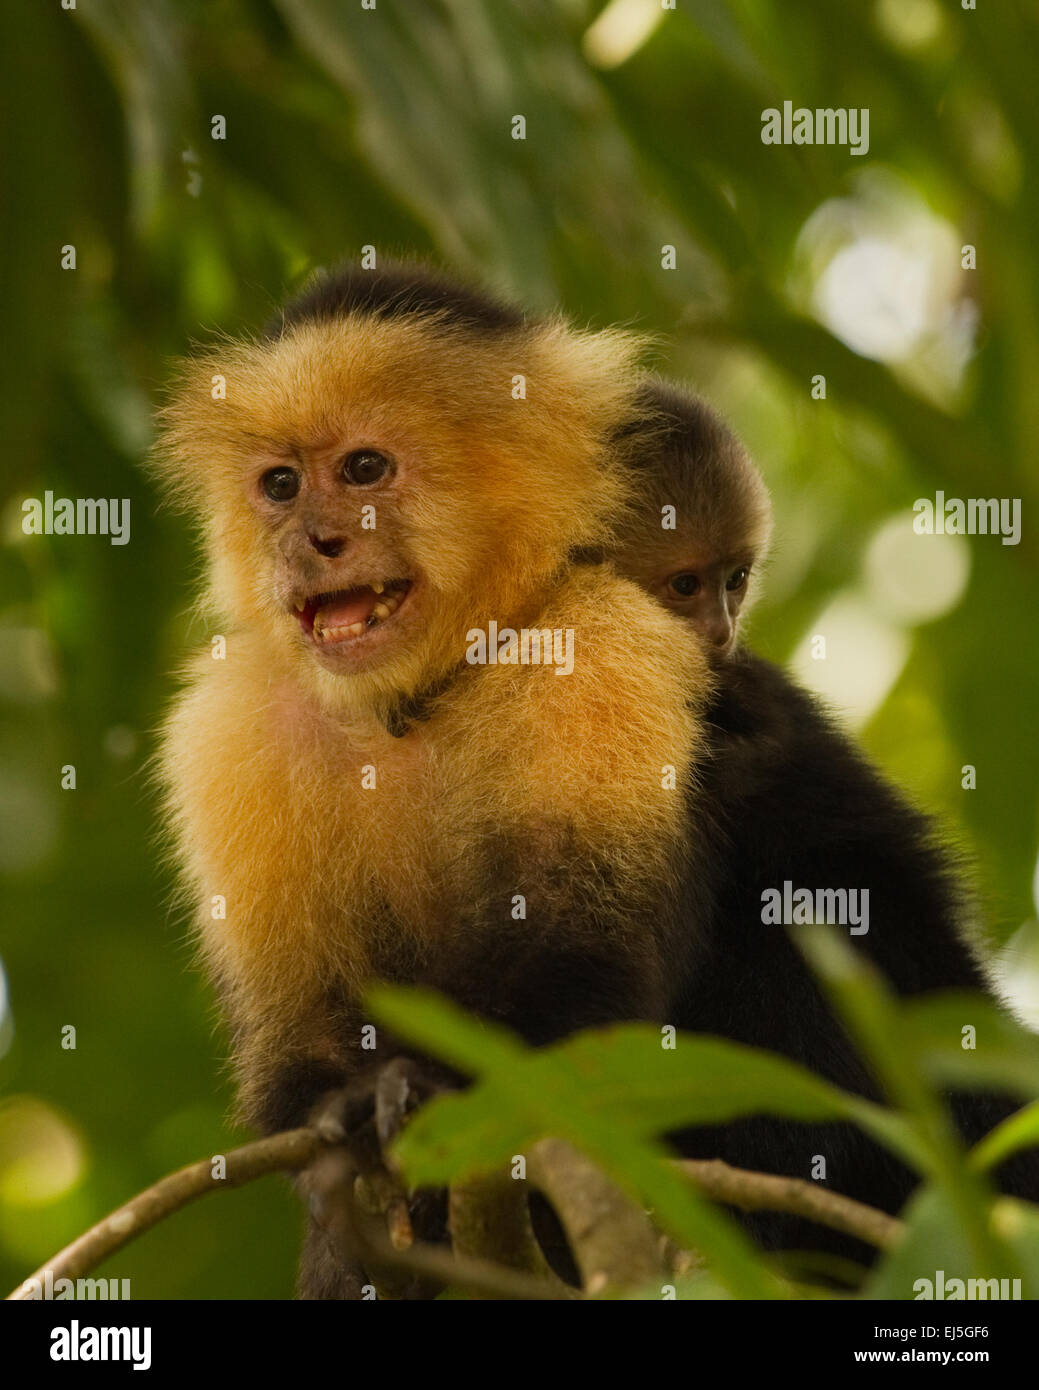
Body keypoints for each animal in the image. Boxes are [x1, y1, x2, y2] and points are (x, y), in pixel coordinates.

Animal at [154, 263, 724, 1297]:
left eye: (364, 470)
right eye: (280, 484)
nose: (313, 538)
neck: (418, 696)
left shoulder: (599, 647)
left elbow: (583, 950)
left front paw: (421, 1091)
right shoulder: (225, 727)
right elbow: (294, 1030)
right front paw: (343, 1115)